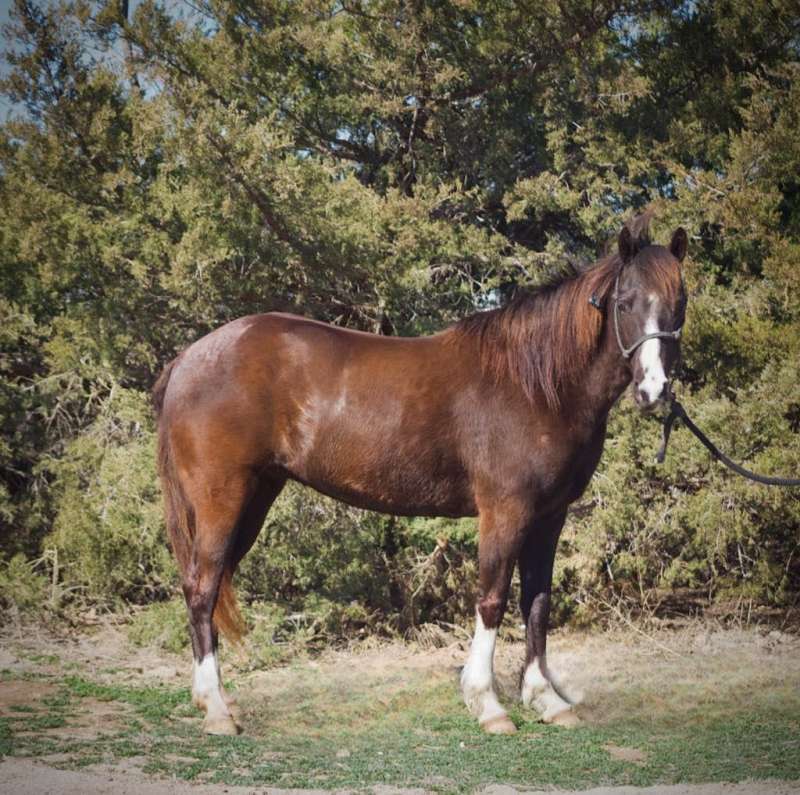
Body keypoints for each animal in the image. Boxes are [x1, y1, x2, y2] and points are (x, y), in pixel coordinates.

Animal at [153, 213, 688, 736]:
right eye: (624, 302)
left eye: (680, 304)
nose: (654, 391)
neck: (536, 385)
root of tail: (189, 358)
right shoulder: (505, 512)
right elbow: (492, 599)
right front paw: (488, 704)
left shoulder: (549, 517)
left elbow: (537, 603)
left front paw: (547, 700)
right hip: (223, 499)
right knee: (202, 588)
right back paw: (216, 710)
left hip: (256, 496)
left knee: (209, 586)